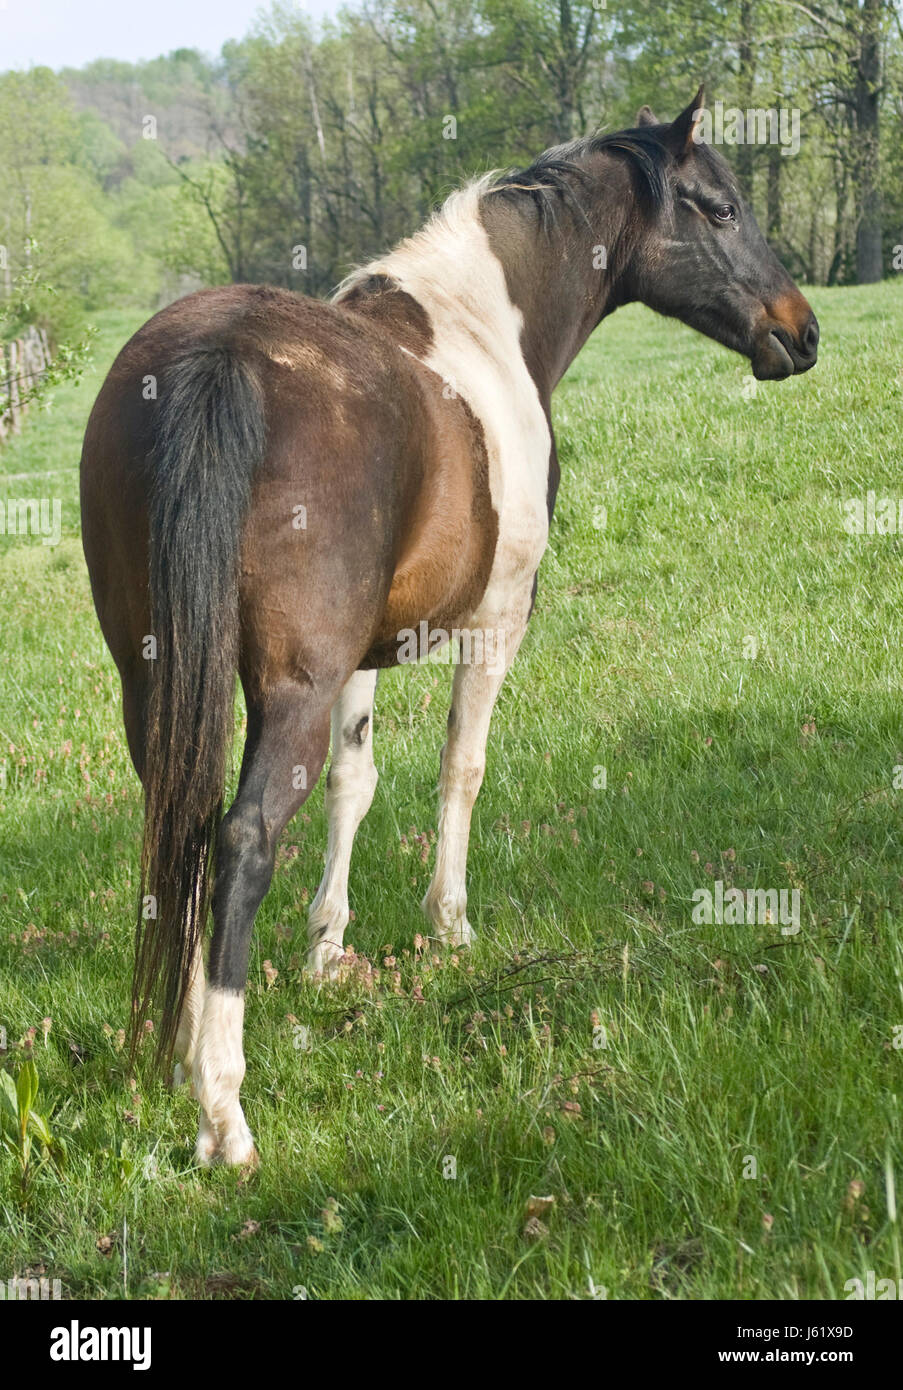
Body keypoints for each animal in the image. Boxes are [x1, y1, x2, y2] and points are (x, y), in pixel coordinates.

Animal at [79, 89, 819, 1167]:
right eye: (719, 208)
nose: (799, 333)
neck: (480, 327)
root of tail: (215, 362)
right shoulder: (496, 623)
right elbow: (459, 769)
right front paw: (449, 924)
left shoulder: (360, 658)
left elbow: (353, 783)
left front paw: (329, 946)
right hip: (284, 693)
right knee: (243, 835)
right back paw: (222, 1107)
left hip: (159, 681)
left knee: (179, 823)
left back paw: (180, 1047)